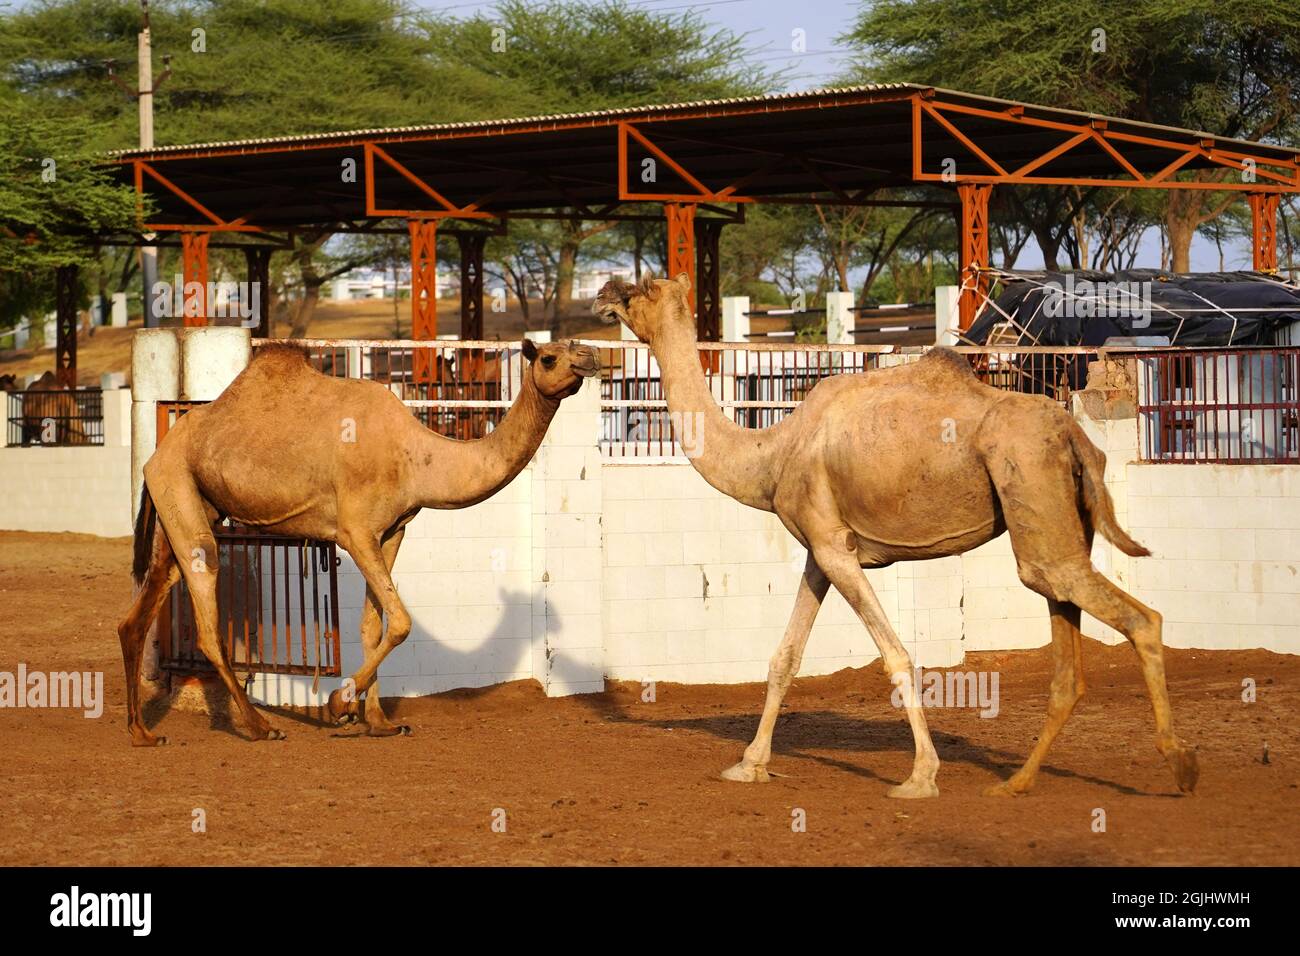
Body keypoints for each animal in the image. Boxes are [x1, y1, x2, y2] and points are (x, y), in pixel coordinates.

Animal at [117, 338, 598, 745]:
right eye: (549, 357)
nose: (591, 356)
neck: (418, 458)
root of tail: (154, 455)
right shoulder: (355, 530)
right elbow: (400, 621)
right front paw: (337, 705)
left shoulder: (392, 531)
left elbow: (373, 624)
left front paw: (380, 722)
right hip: (180, 486)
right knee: (208, 615)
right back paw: (260, 726)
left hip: (184, 508)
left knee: (141, 609)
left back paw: (142, 732)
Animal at [593, 273, 1197, 798]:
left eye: (640, 289)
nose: (602, 295)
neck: (772, 454)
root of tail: (1078, 434)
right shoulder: (821, 550)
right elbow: (785, 657)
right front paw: (748, 765)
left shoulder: (835, 550)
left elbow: (897, 656)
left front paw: (921, 777)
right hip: (1059, 525)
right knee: (1067, 644)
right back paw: (1018, 781)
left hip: (1034, 497)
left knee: (1137, 617)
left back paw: (1181, 765)